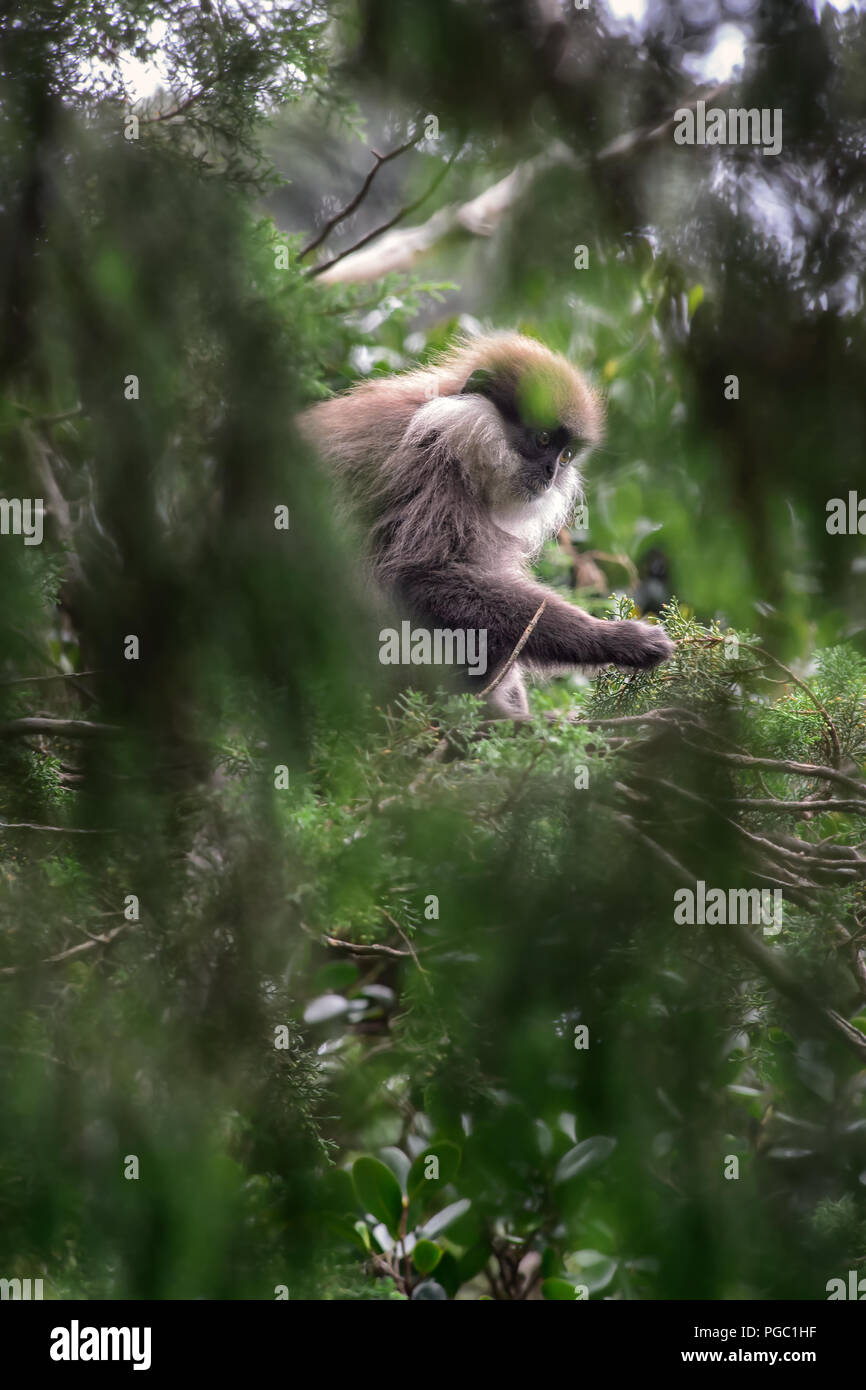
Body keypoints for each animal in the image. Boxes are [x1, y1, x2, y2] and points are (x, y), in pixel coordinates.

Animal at [301, 332, 674, 717]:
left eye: (566, 456)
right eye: (542, 439)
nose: (550, 472)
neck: (449, 422)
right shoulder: (429, 464)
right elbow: (424, 575)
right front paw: (617, 639)